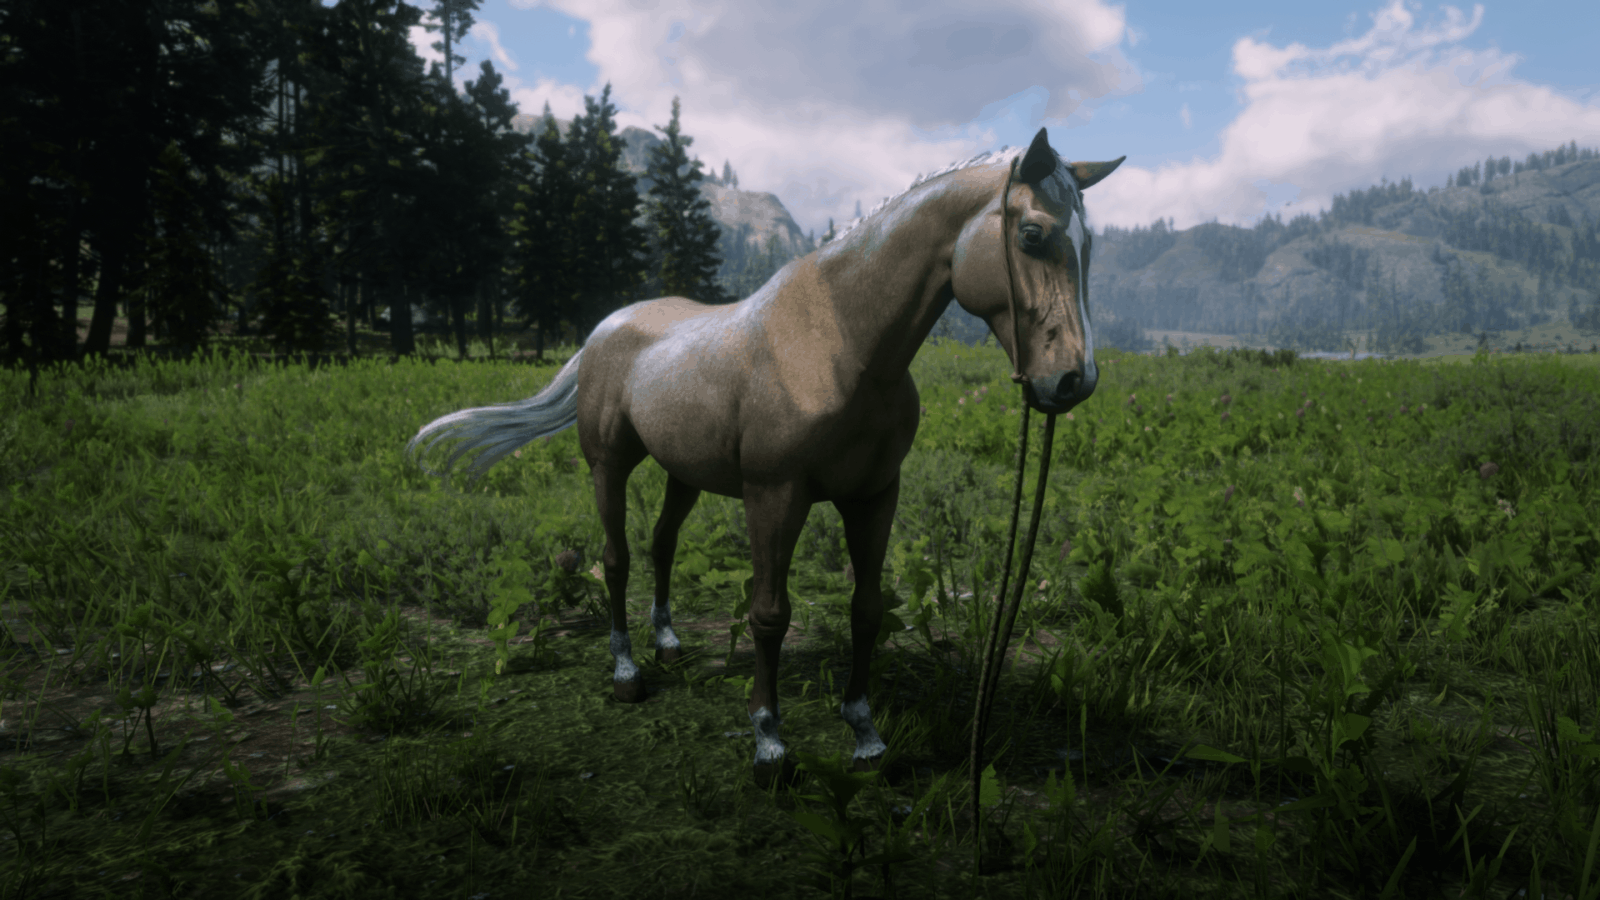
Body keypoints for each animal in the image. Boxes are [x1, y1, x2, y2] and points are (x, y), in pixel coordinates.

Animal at [408, 127, 1123, 786]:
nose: (1072, 381)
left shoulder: (874, 497)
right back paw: (627, 672)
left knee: (662, 544)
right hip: (608, 466)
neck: (843, 347)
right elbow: (769, 614)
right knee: (615, 558)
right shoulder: (774, 496)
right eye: (1031, 235)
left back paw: (668, 644)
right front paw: (769, 743)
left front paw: (865, 734)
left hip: (684, 473)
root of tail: (605, 329)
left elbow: (867, 609)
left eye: (1089, 247)